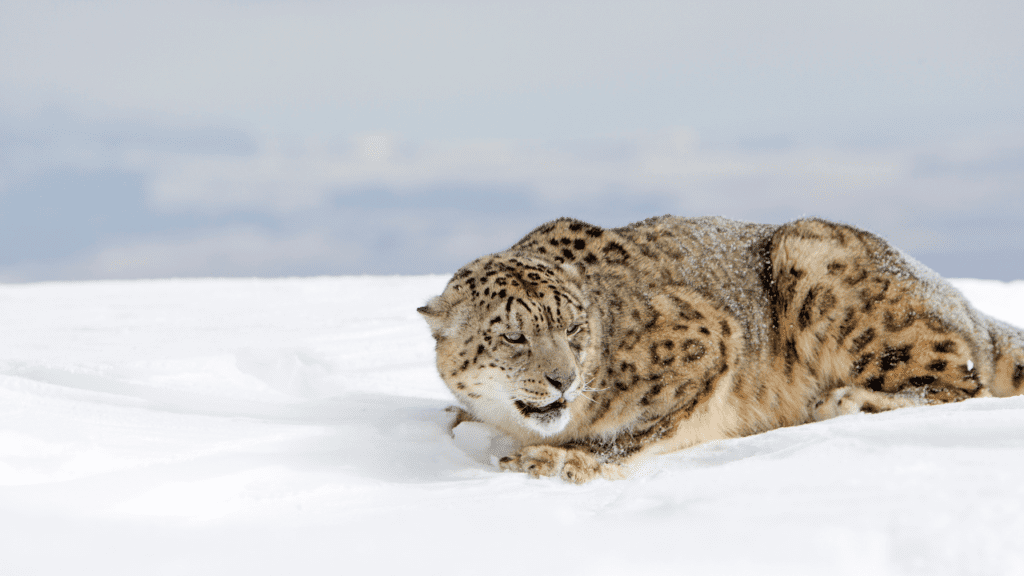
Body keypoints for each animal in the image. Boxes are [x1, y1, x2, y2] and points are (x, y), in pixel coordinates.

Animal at [418, 216, 1024, 483]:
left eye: (573, 329)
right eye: (514, 335)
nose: (563, 379)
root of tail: (961, 301)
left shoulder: (708, 337)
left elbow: (639, 430)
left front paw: (561, 459)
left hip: (824, 274)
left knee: (961, 383)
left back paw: (844, 401)